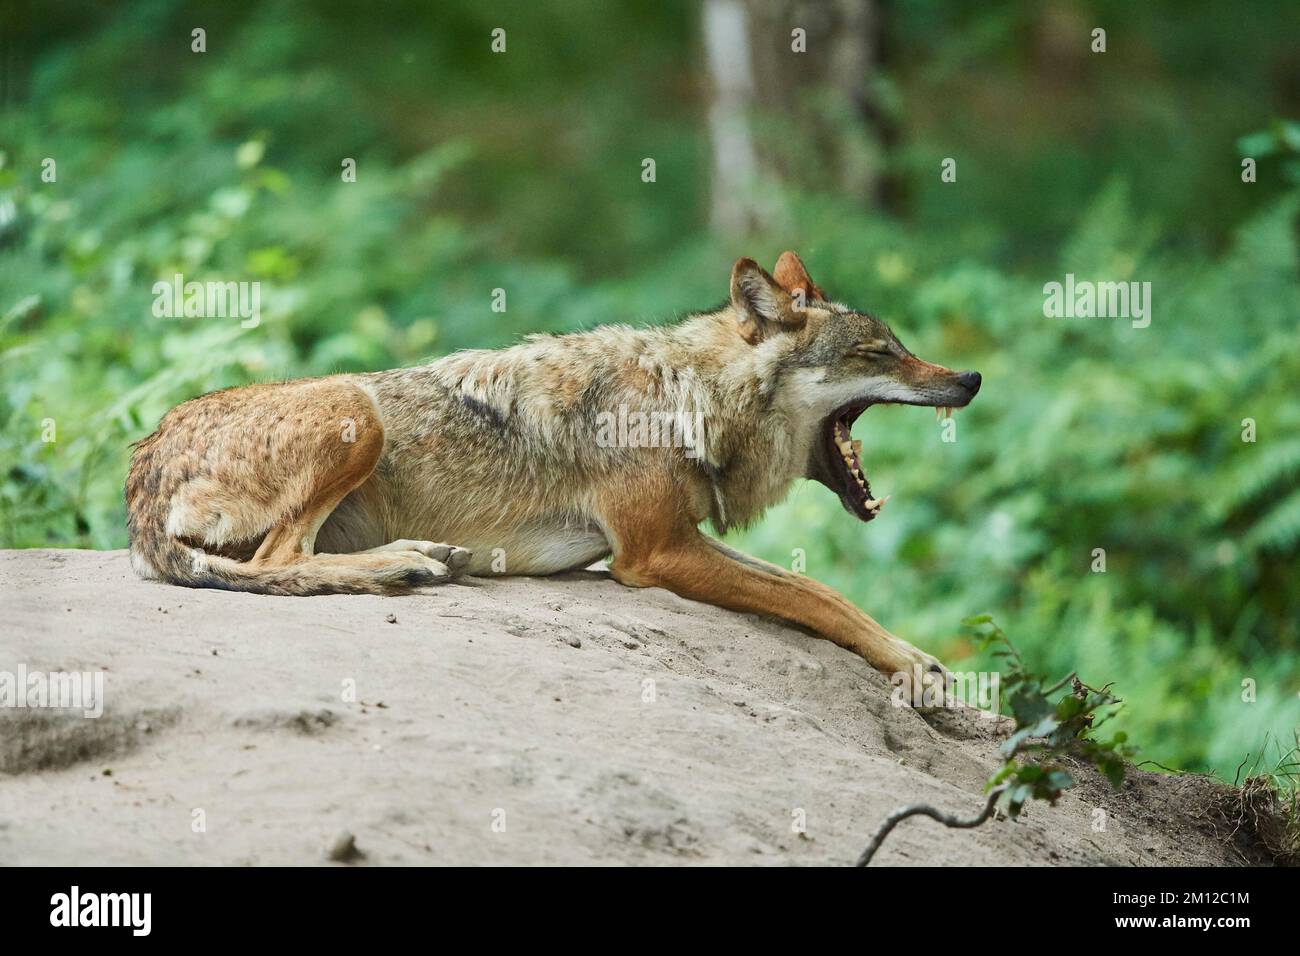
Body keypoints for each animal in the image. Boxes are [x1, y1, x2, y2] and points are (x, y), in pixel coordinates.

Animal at [127, 252, 980, 677]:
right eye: (881, 354)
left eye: (902, 346)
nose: (971, 378)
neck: (685, 395)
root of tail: (141, 468)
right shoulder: (656, 553)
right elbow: (808, 592)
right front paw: (912, 667)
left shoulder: (677, 539)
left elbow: (823, 590)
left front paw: (909, 656)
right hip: (355, 412)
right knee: (277, 562)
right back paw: (406, 563)